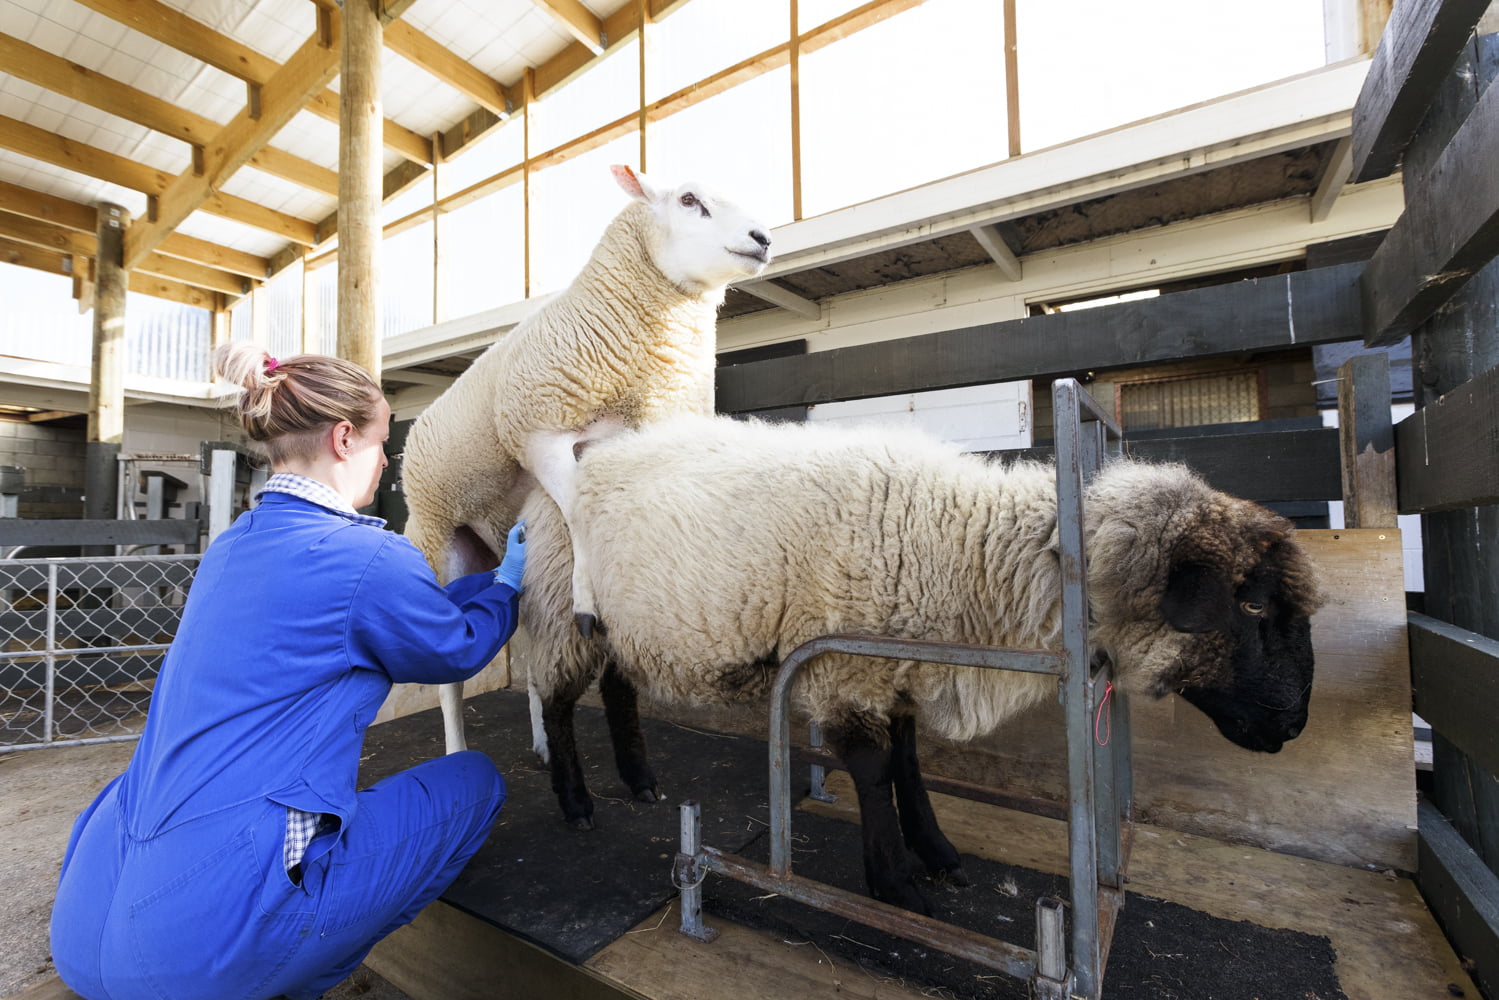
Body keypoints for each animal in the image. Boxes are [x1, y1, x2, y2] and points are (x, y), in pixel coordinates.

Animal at [399, 166, 771, 777]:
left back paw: (544, 744)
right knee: (448, 675)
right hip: (438, 540)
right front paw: (589, 604)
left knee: (527, 641)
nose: (762, 238)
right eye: (689, 199)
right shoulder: (542, 433)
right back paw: (455, 751)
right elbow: (577, 513)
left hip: (505, 548)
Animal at [526, 413, 1324, 913]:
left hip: (623, 626)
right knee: (558, 703)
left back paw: (640, 779)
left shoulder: (898, 668)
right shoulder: (845, 671)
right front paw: (895, 881)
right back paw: (575, 803)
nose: (1293, 724)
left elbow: (908, 763)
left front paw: (936, 851)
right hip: (567, 614)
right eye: (1254, 607)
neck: (962, 548)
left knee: (619, 690)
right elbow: (872, 768)